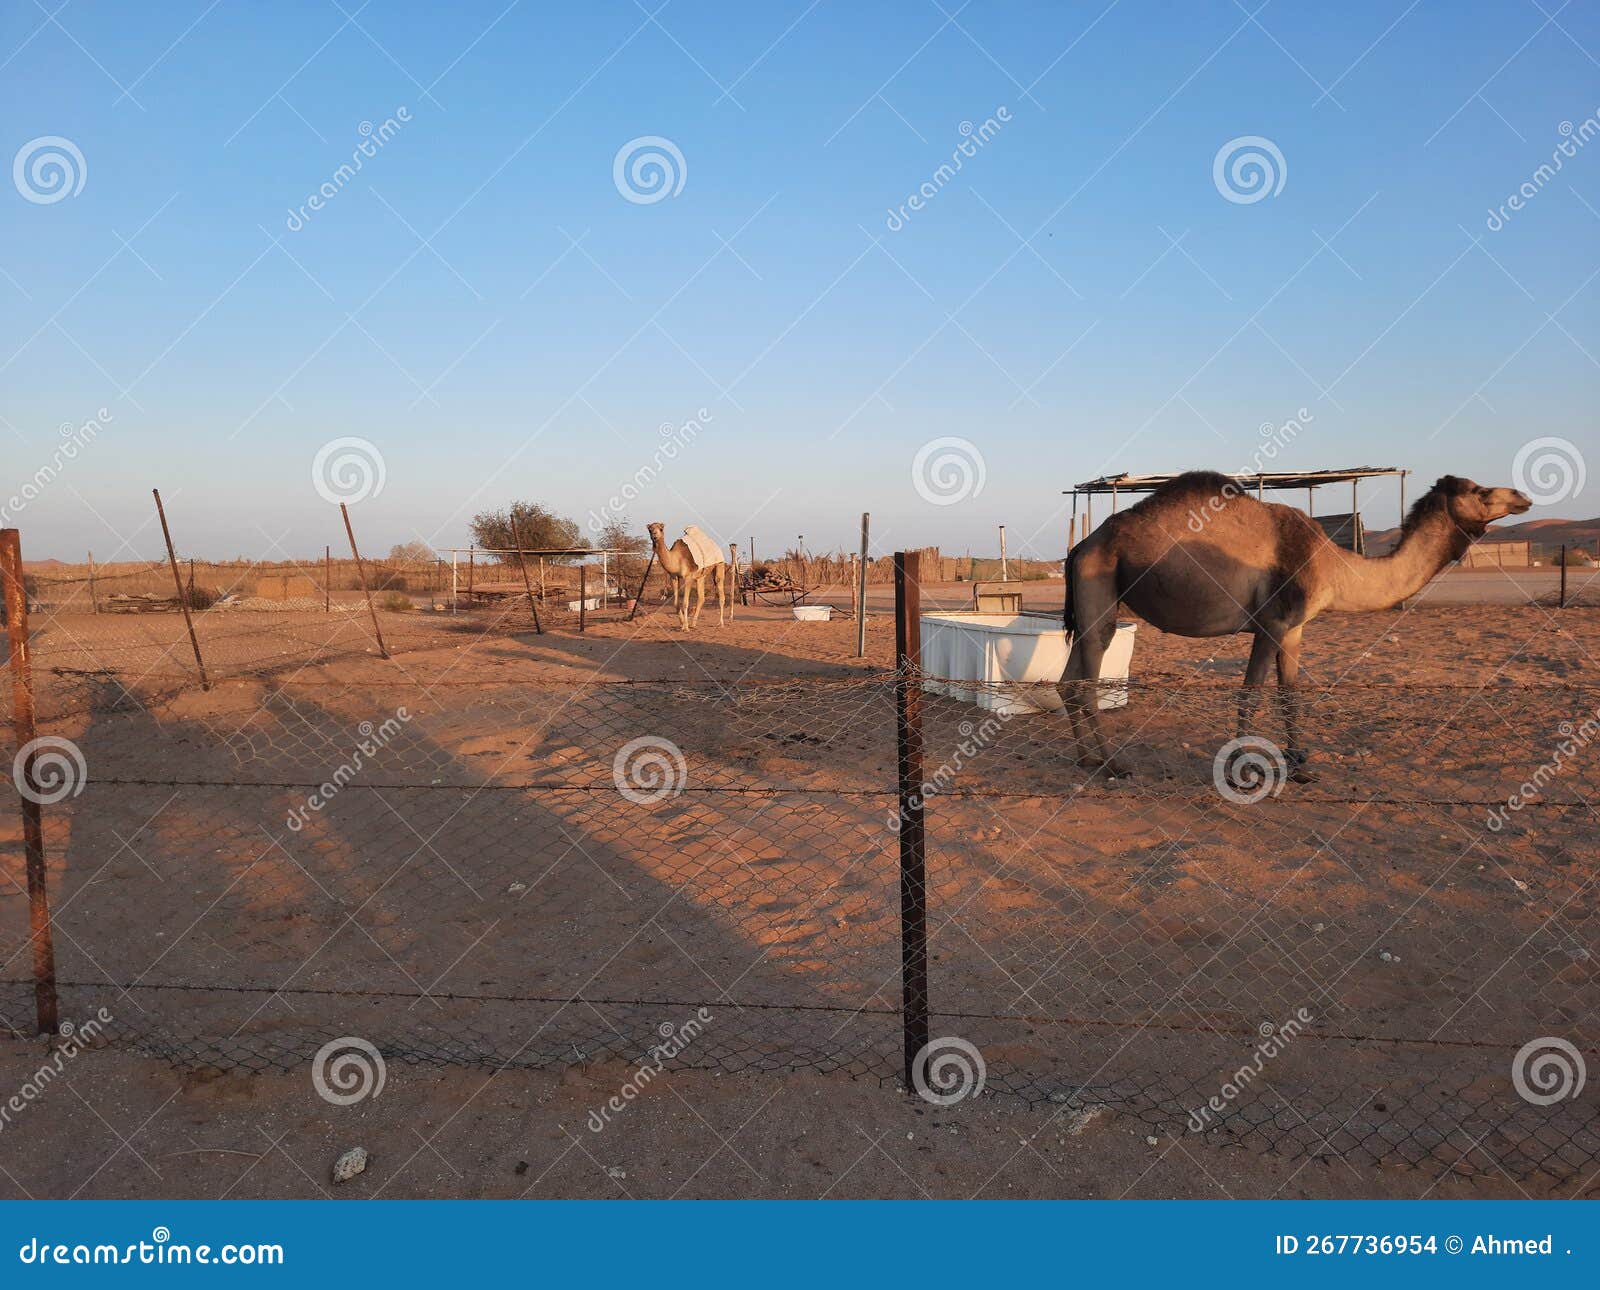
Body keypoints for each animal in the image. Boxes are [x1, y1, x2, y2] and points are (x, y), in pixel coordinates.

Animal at [1060, 472, 1531, 778]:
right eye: (1480, 491)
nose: (1522, 496)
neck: (1336, 567)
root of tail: (1081, 546)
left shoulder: (1294, 628)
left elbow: (1290, 692)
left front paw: (1300, 764)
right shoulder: (1272, 621)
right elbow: (1251, 693)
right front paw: (1239, 768)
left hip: (1088, 600)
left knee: (1069, 680)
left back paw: (1085, 758)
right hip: (1100, 584)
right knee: (1089, 678)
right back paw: (1113, 764)